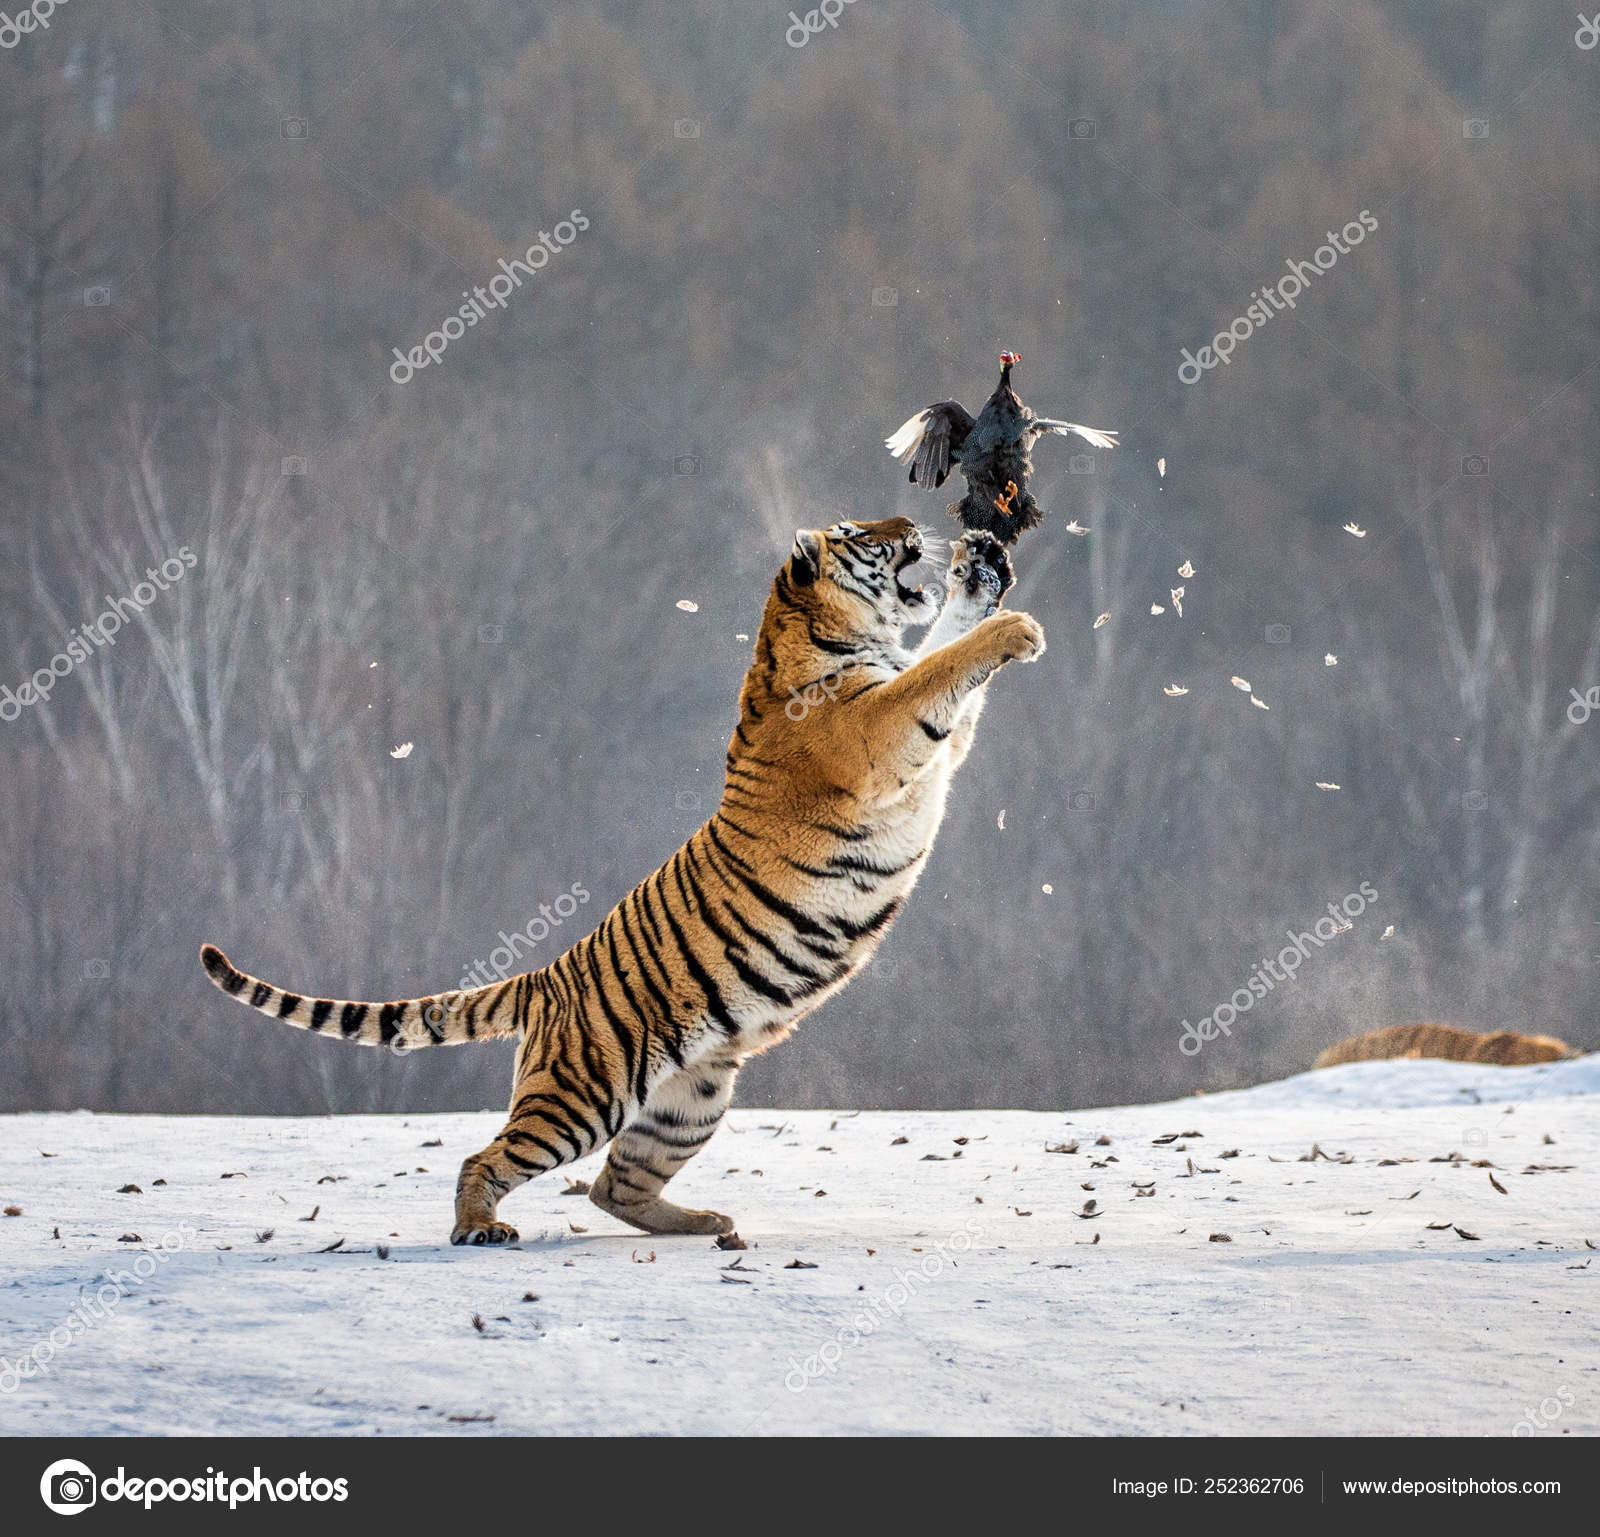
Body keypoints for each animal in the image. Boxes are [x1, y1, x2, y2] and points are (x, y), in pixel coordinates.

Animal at [200, 518, 1043, 1244]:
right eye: (857, 532)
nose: (913, 526)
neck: (823, 635)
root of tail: (546, 977)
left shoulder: (934, 742)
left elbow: (943, 648)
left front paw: (982, 571)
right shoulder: (878, 732)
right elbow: (939, 664)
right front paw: (1016, 626)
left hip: (689, 1100)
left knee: (616, 1186)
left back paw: (705, 1222)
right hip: (581, 1094)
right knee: (489, 1155)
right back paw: (480, 1227)